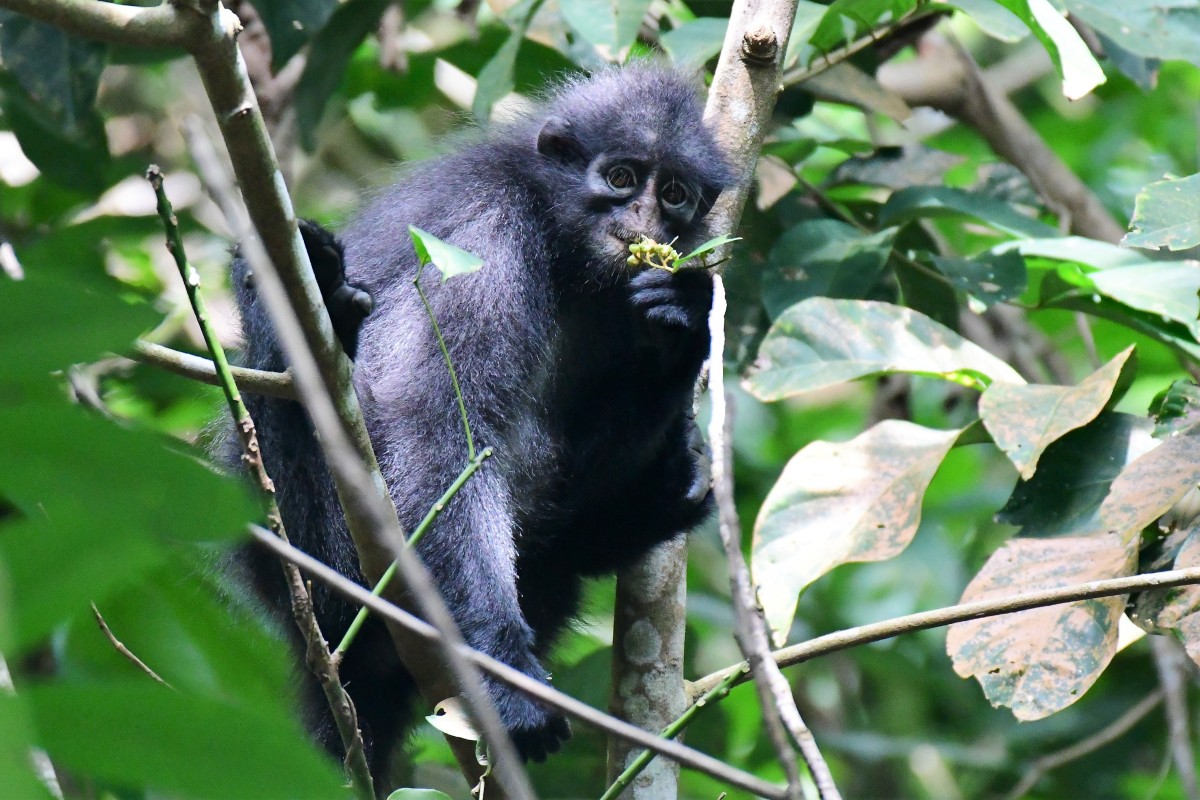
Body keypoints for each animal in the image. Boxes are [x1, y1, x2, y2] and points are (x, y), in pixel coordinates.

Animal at [232, 64, 732, 787]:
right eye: (621, 178)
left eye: (674, 195)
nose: (643, 220)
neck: (564, 253)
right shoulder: (486, 234)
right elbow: (439, 427)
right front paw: (502, 677)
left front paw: (682, 324)